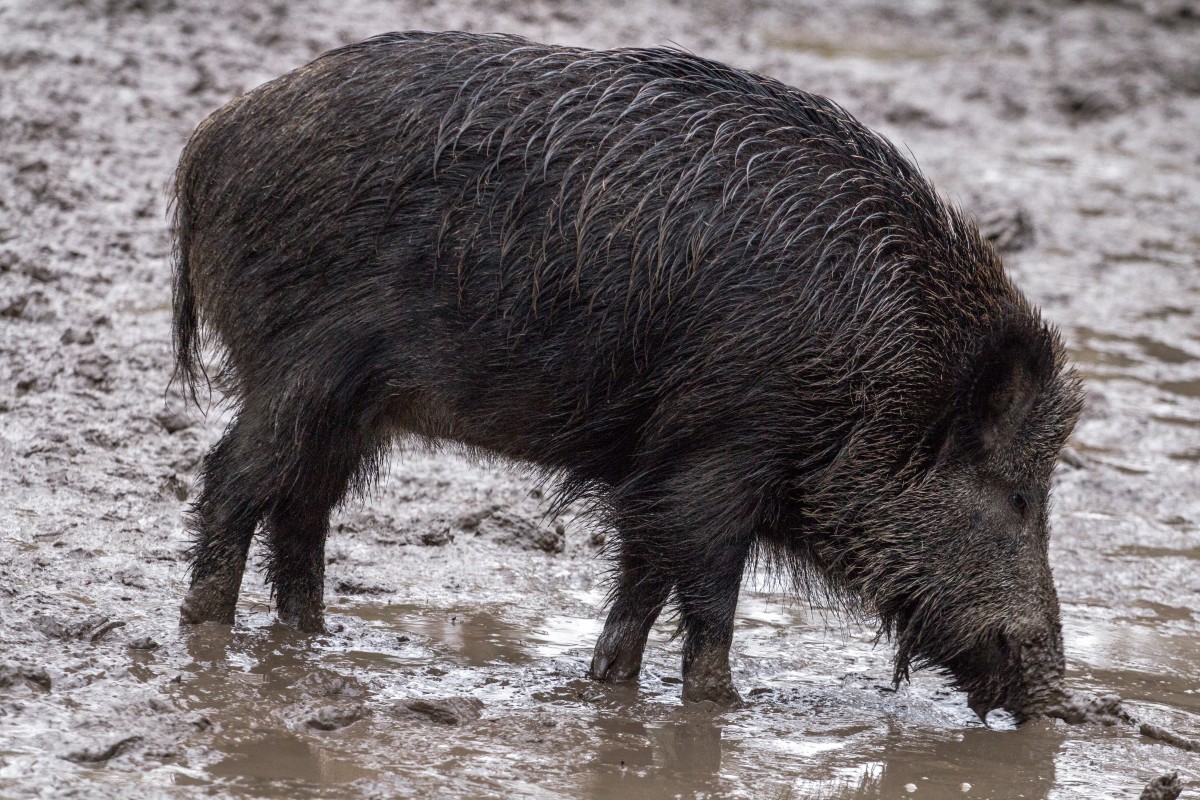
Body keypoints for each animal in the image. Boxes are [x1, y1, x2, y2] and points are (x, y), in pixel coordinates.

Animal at [171, 31, 1083, 718]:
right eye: (1018, 499)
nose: (1060, 705)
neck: (875, 374)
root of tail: (210, 142)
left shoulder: (660, 468)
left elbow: (642, 585)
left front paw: (608, 687)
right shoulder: (721, 449)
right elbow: (708, 600)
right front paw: (722, 710)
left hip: (354, 409)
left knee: (302, 508)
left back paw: (311, 640)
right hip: (302, 369)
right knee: (233, 480)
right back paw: (207, 634)